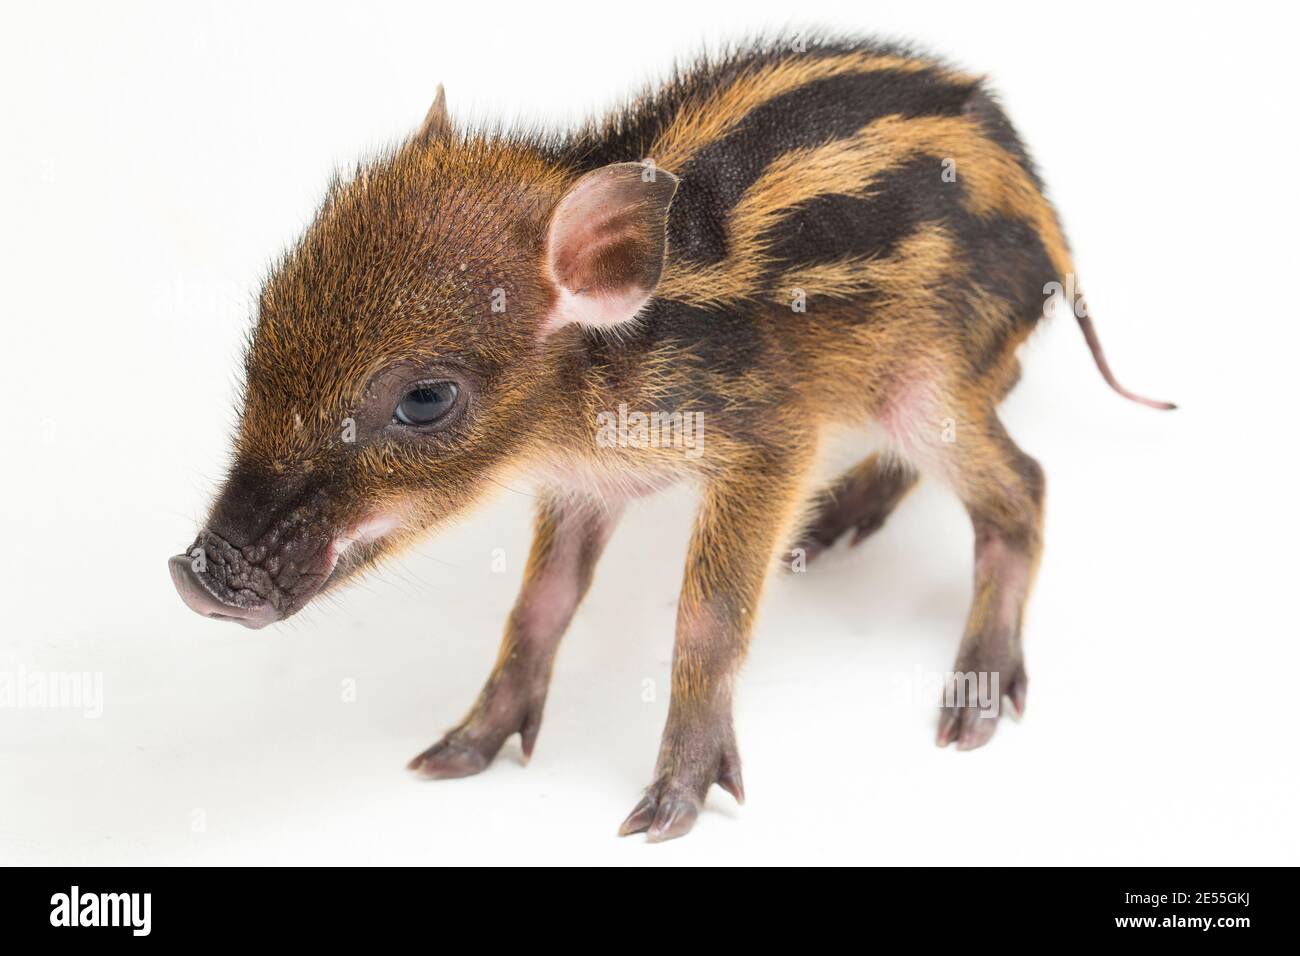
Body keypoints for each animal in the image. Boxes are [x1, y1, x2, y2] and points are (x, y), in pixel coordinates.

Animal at [169, 36, 1173, 841]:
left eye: (425, 398)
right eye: (262, 327)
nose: (197, 576)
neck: (597, 389)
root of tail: (1055, 244)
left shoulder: (770, 440)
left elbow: (709, 615)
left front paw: (669, 810)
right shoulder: (588, 484)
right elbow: (540, 605)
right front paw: (457, 752)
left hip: (925, 384)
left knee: (1024, 486)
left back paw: (974, 707)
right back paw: (828, 532)